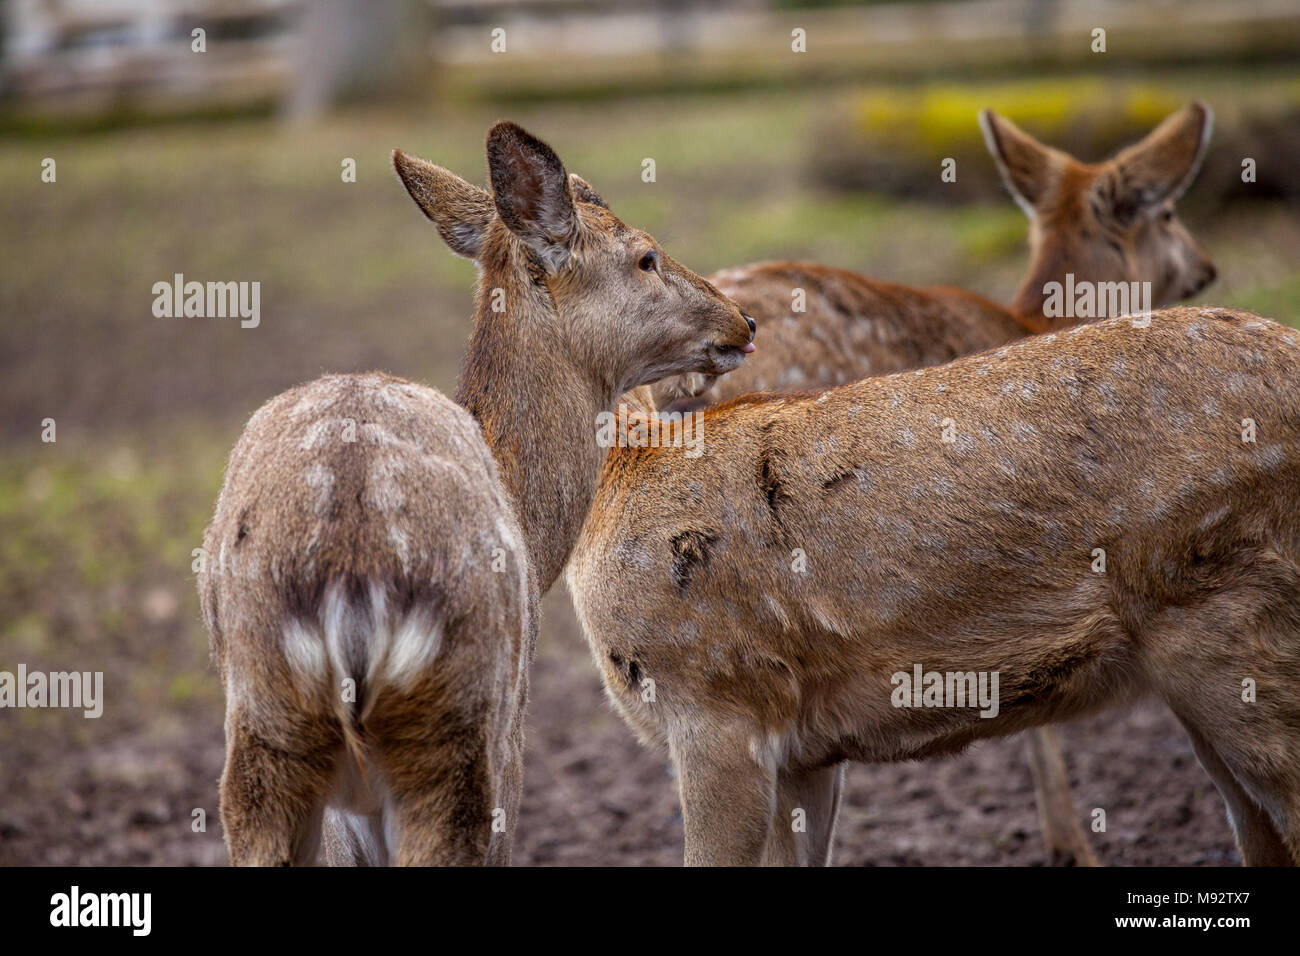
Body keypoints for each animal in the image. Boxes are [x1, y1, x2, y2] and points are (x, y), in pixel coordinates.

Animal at [197, 121, 756, 865]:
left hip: (264, 732)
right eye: (644, 256)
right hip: (460, 734)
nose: (742, 321)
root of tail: (349, 572)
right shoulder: (514, 727)